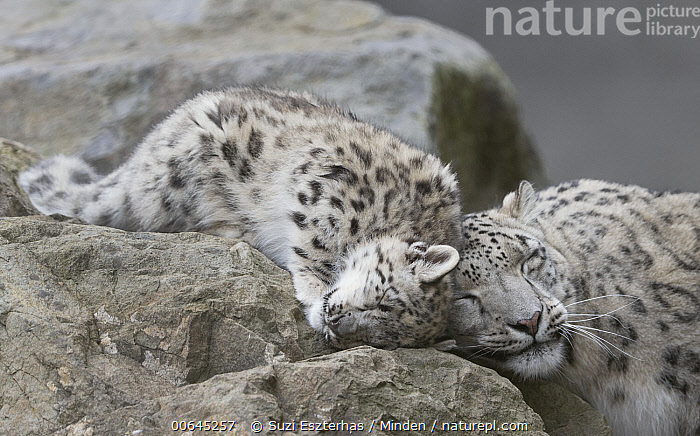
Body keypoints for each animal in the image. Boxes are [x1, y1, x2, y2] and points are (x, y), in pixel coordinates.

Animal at [18, 86, 463, 350]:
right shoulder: (323, 183)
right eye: (383, 297)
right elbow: (314, 241)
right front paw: (315, 288)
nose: (337, 323)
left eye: (380, 340)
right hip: (174, 177)